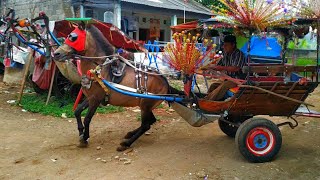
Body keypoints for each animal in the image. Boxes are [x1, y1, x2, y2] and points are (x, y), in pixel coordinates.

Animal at [53, 23, 172, 151]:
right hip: (146, 105)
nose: (56, 54)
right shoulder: (91, 97)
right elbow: (77, 112)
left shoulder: (95, 99)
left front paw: (84, 138)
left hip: (146, 104)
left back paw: (126, 143)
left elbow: (87, 118)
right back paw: (130, 134)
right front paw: (81, 132)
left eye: (73, 37)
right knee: (150, 121)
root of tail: (165, 82)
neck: (99, 69)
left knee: (146, 125)